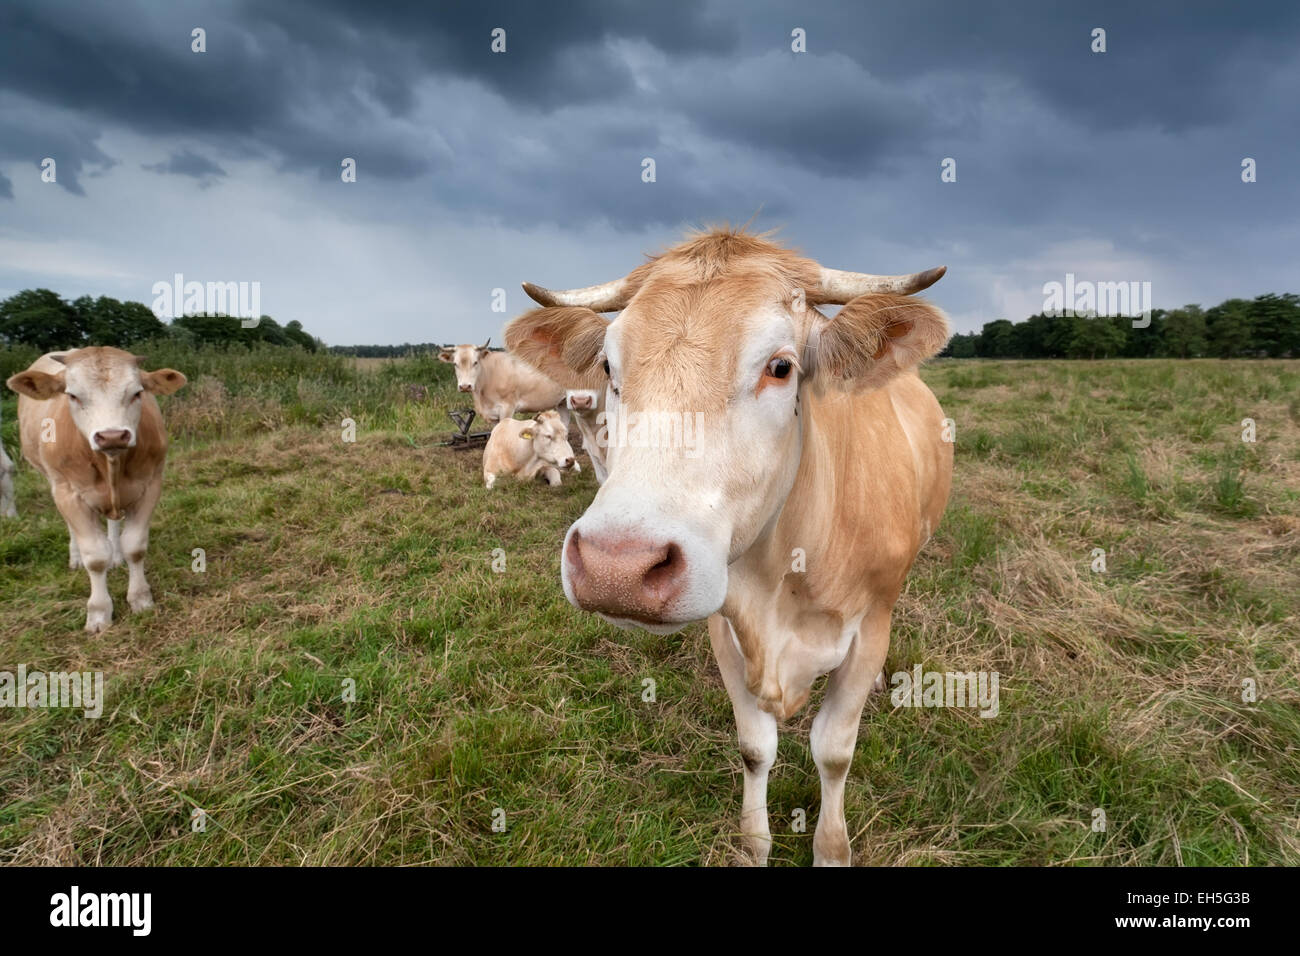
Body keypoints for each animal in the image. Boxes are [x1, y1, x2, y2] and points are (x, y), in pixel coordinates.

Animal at [6, 347, 187, 633]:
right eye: (72, 395)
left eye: (137, 393)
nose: (112, 436)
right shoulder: (68, 492)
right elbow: (95, 556)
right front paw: (99, 612)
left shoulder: (151, 485)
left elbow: (135, 546)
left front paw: (141, 599)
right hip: (53, 482)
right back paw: (76, 557)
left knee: (113, 523)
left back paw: (116, 555)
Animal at [438, 338, 568, 426]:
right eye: (455, 364)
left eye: (475, 362)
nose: (465, 386)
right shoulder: (492, 415)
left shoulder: (507, 408)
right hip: (562, 403)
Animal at [505, 228, 953, 866]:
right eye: (609, 367)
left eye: (781, 366)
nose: (617, 567)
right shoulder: (726, 629)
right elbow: (754, 747)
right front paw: (753, 842)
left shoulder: (869, 627)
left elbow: (834, 752)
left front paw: (831, 847)